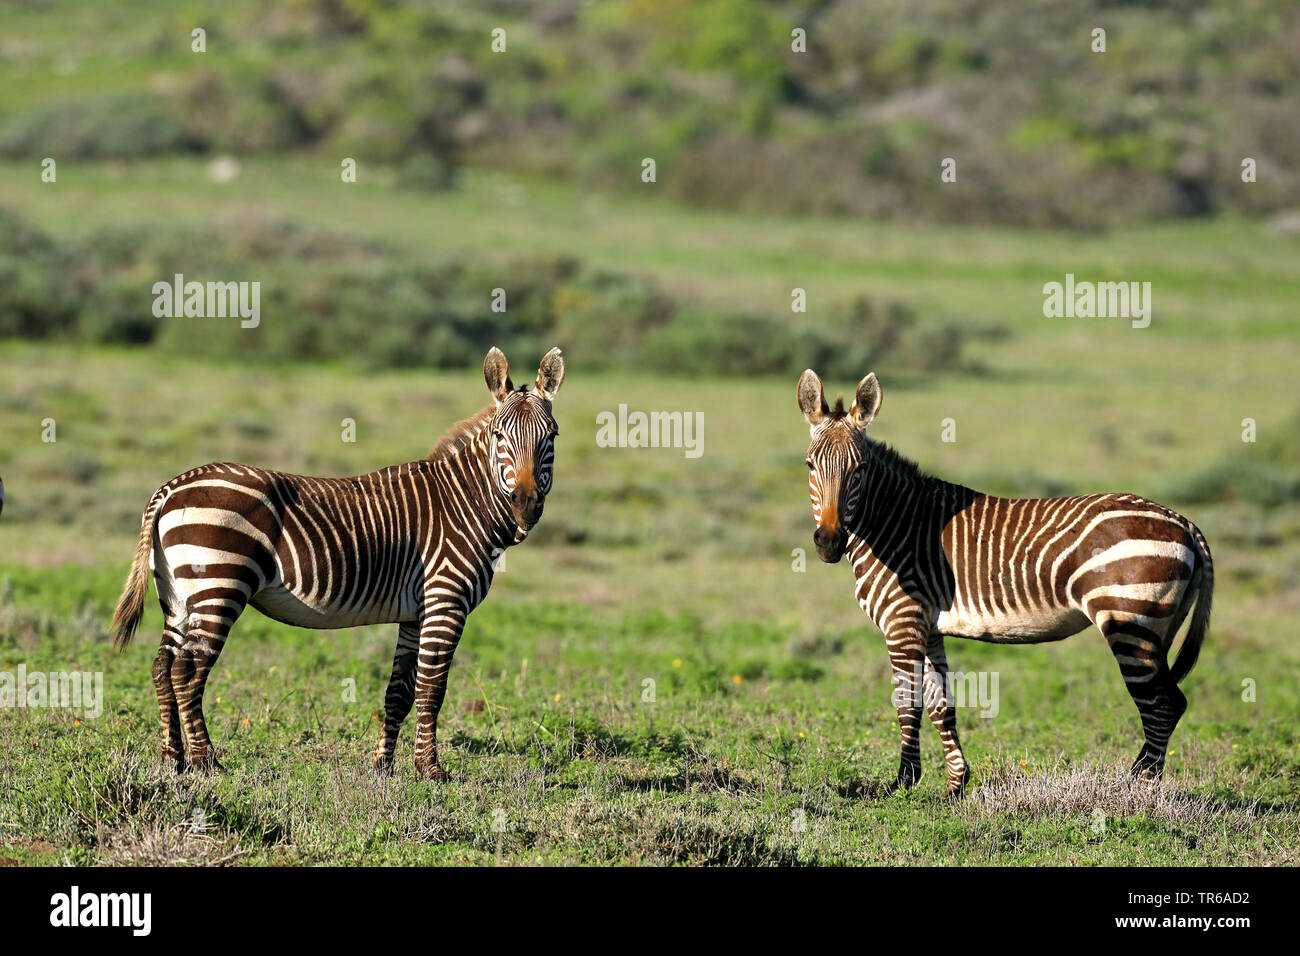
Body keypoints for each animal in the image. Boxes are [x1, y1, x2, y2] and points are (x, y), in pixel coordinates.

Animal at [111, 346, 565, 779]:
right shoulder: (445, 601)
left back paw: (174, 758)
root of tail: (171, 488)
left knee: (162, 667)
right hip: (218, 587)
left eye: (552, 435)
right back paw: (206, 762)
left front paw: (384, 766)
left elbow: (399, 692)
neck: (466, 501)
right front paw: (431, 769)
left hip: (179, 595)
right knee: (187, 671)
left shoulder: (415, 612)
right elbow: (432, 689)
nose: (526, 505)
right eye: (499, 434)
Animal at [797, 369, 1213, 798]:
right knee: (1171, 701)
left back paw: (1139, 791)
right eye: (810, 465)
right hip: (1157, 630)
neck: (893, 524)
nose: (829, 543)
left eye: (859, 469)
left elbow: (907, 702)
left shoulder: (902, 621)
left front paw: (903, 782)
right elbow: (941, 706)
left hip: (1129, 623)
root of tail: (1184, 522)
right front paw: (956, 785)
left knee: (1161, 705)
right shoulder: (928, 627)